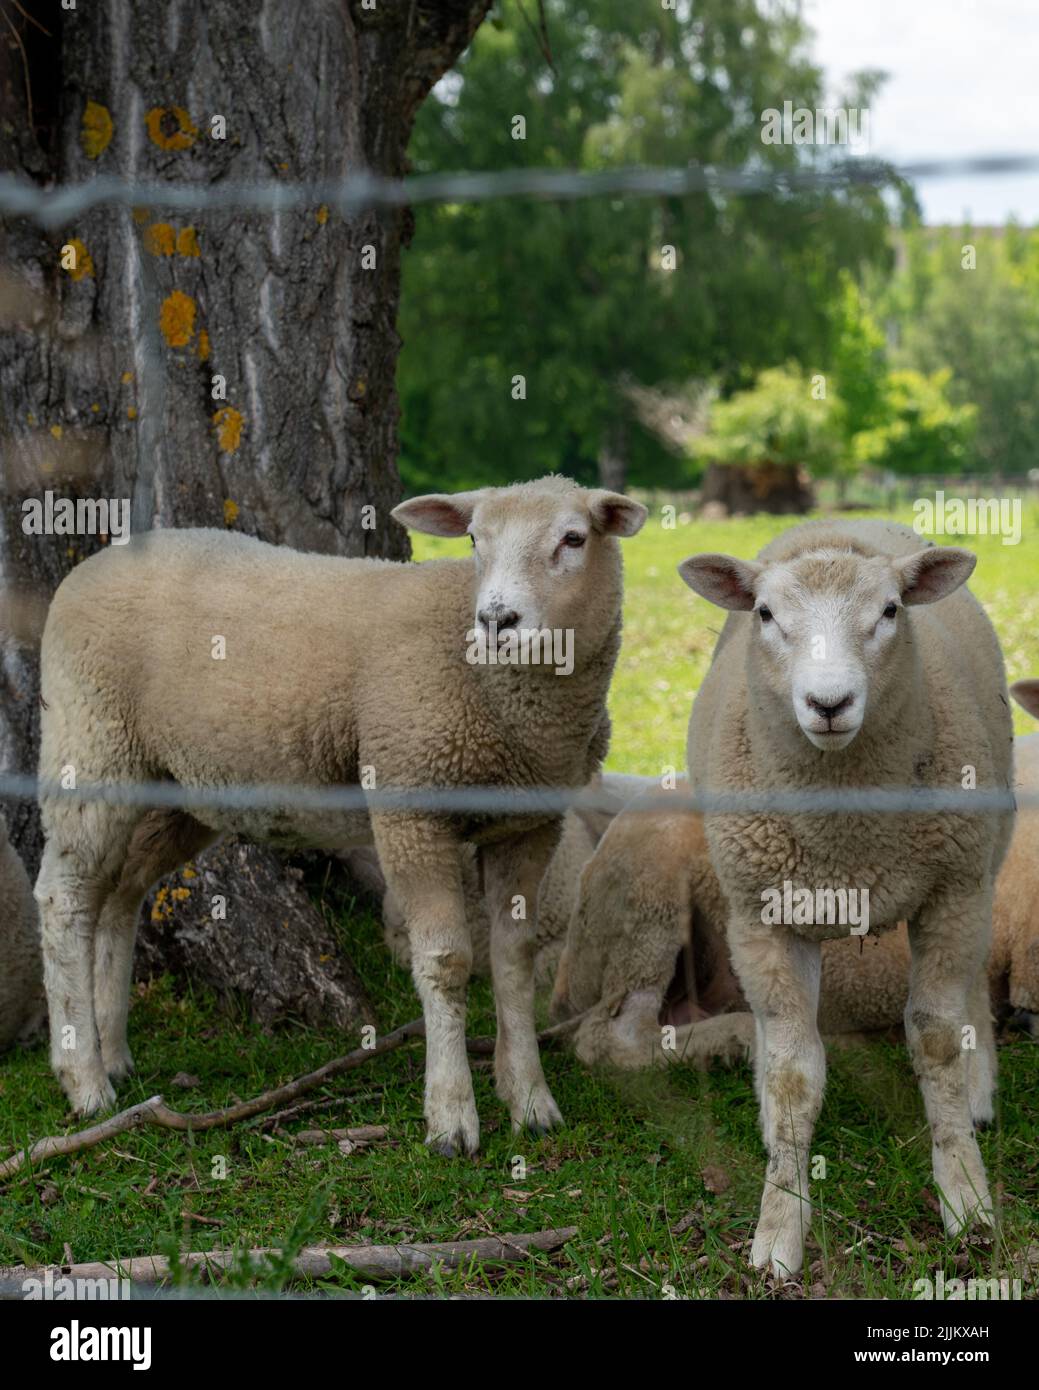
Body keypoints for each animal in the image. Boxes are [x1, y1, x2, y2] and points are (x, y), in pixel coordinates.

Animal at [33, 476, 647, 1154]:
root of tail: (92, 566)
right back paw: (84, 1079)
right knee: (65, 898)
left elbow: (513, 962)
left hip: (175, 785)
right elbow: (446, 963)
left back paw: (112, 1051)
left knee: (117, 895)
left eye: (574, 539)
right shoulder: (410, 804)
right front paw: (451, 1116)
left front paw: (532, 1102)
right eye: (473, 539)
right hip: (91, 742)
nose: (495, 621)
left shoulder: (530, 825)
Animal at [679, 518, 1014, 1276]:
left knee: (973, 980)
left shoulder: (950, 893)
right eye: (765, 614)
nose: (828, 705)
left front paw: (966, 1198)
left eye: (889, 611)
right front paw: (778, 1227)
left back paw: (981, 1086)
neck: (847, 832)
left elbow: (936, 1042)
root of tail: (843, 524)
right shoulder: (765, 917)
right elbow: (793, 1073)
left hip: (984, 859)